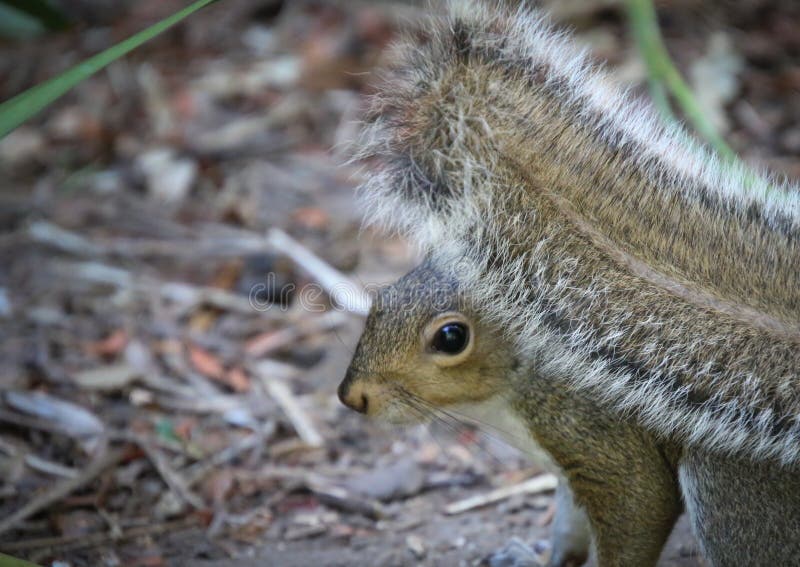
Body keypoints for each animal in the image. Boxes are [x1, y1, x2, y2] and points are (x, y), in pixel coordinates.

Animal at [338, 262, 800, 566]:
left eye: (452, 337)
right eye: (382, 297)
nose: (351, 397)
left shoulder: (598, 433)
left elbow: (642, 502)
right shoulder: (568, 465)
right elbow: (569, 528)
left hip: (731, 491)